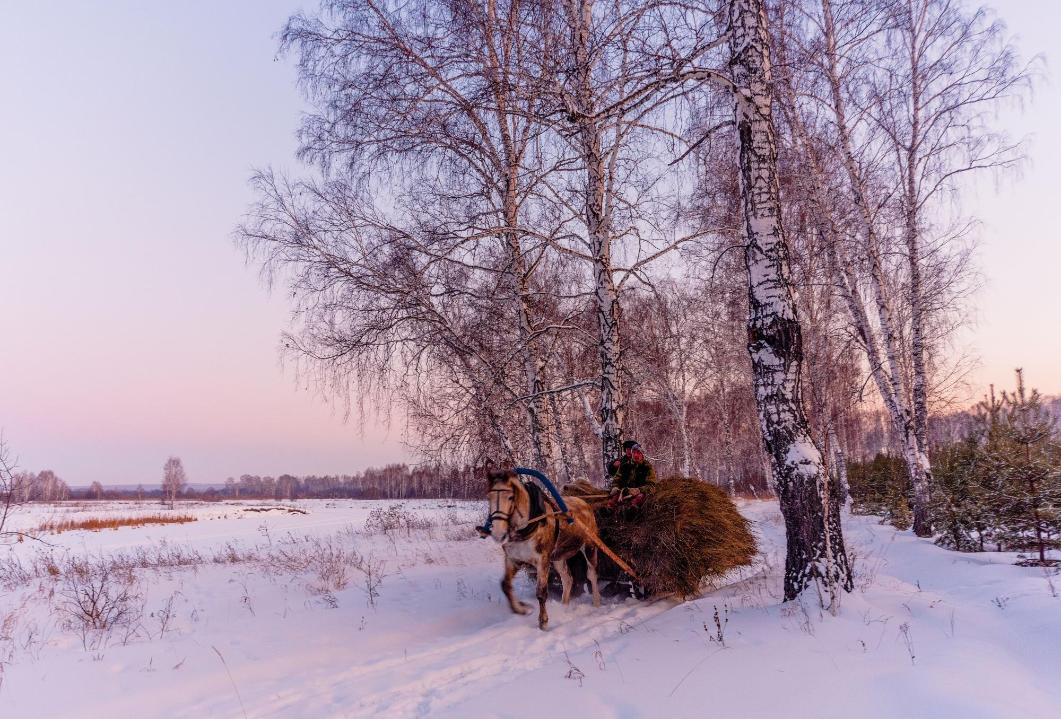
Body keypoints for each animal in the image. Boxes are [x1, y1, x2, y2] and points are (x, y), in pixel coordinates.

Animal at [485, 466, 602, 632]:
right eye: (488, 497)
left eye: (510, 497)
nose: (498, 533)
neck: (527, 525)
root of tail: (583, 502)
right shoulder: (513, 559)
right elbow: (505, 585)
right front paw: (521, 608)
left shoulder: (542, 560)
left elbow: (541, 592)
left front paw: (543, 621)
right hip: (559, 556)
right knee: (567, 579)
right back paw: (564, 607)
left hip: (589, 546)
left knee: (592, 574)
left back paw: (596, 603)